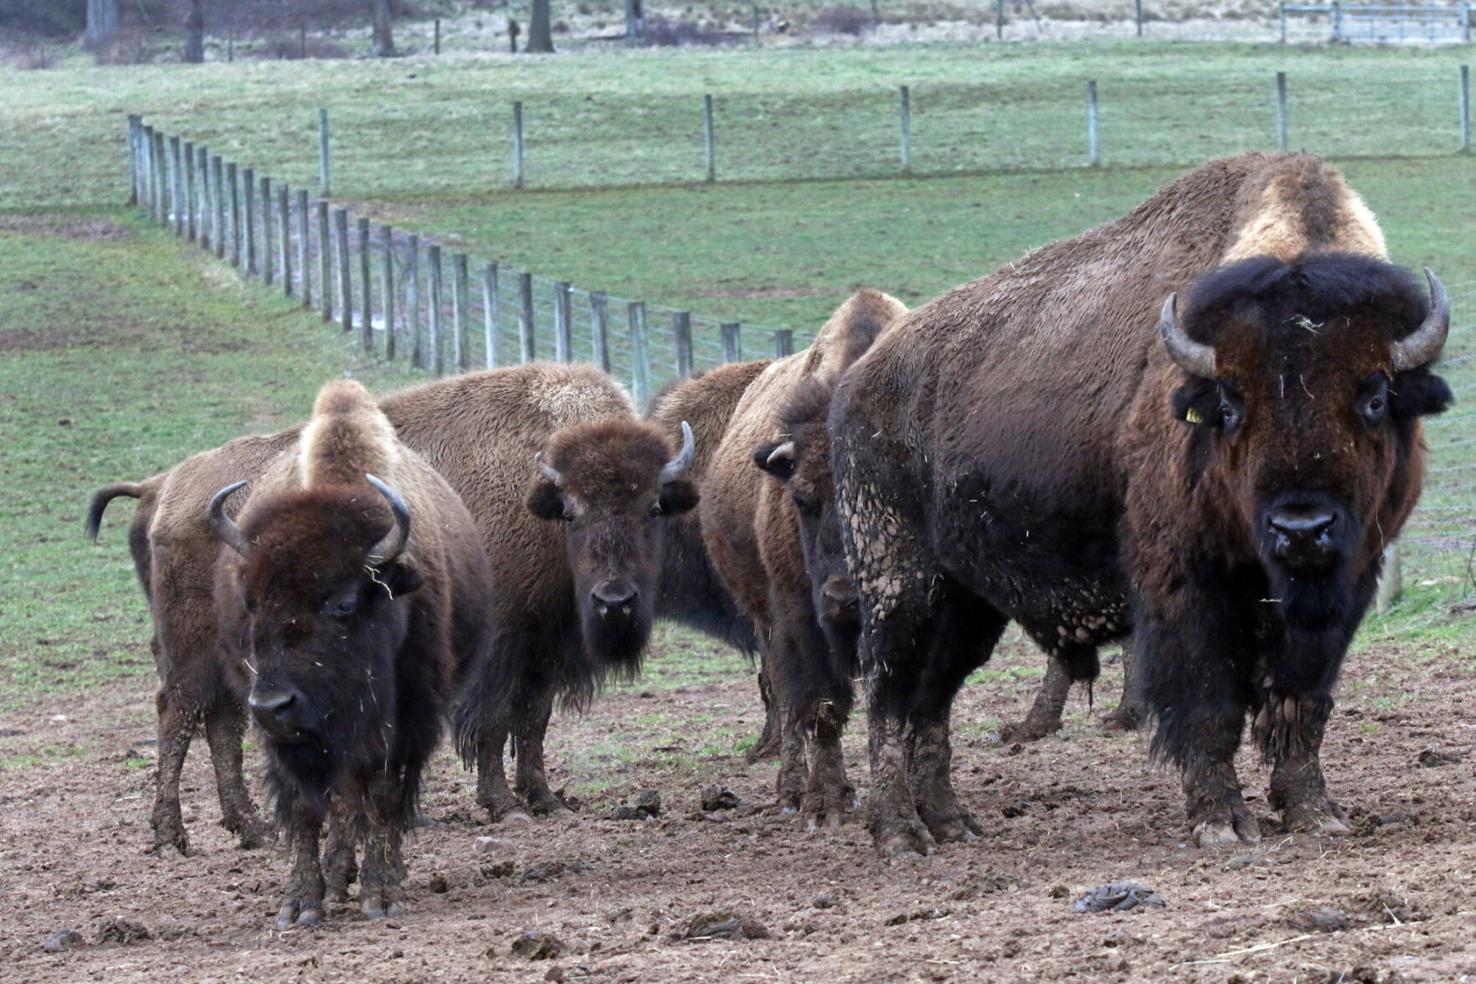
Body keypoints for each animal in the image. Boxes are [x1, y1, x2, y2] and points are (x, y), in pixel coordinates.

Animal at [830, 151, 1451, 855]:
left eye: (1374, 397)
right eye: (1230, 404)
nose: (1301, 528)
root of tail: (860, 381)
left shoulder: (1342, 592)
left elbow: (1301, 703)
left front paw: (1314, 813)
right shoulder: (1186, 585)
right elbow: (1210, 704)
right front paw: (1222, 823)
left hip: (967, 602)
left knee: (931, 699)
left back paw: (952, 823)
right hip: (898, 582)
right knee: (889, 694)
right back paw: (899, 832)